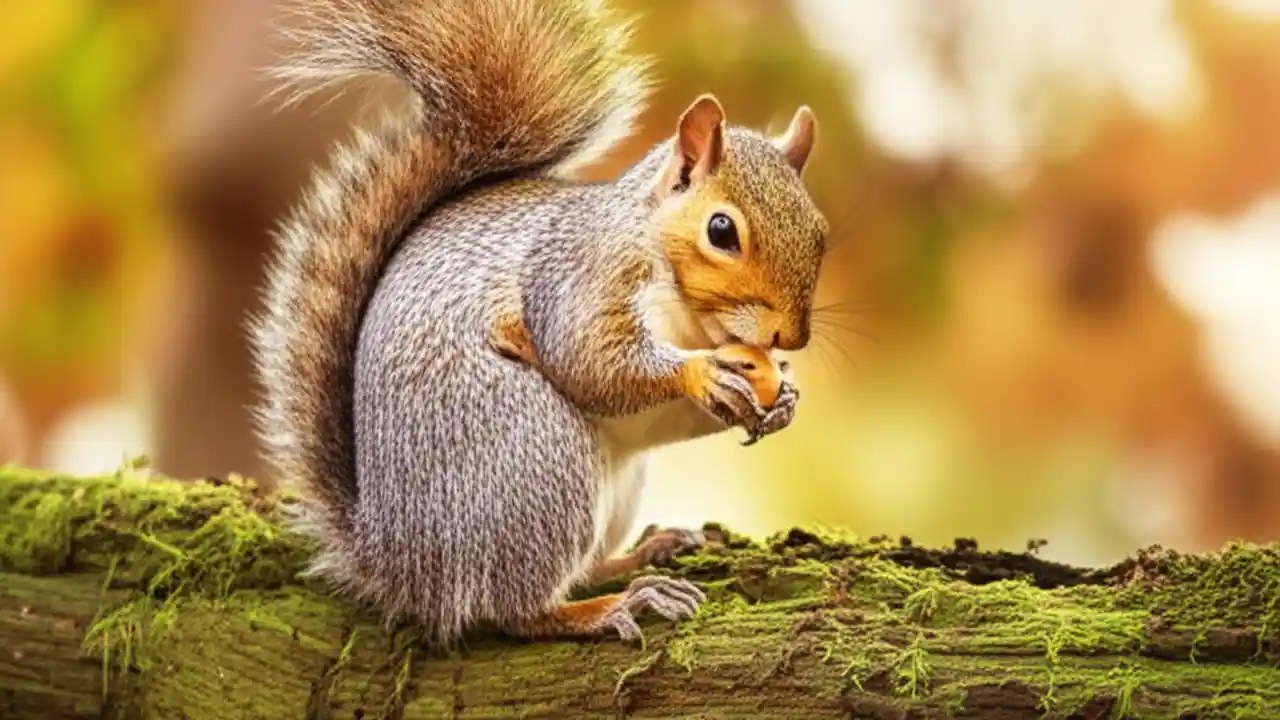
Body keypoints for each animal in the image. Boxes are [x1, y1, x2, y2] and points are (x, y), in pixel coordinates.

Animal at [251, 0, 828, 644]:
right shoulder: (579, 275)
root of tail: (399, 564)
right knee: (513, 608)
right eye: (721, 230)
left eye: (820, 232)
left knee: (580, 566)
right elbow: (591, 360)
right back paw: (613, 606)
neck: (688, 320)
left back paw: (645, 555)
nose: (789, 337)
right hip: (540, 459)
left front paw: (785, 398)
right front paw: (705, 374)